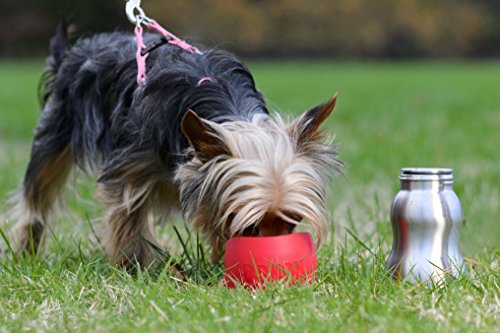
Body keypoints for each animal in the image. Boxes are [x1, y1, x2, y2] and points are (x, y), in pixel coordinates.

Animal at [8, 23, 344, 268]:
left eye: (293, 221)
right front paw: (137, 267)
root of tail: (74, 51)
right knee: (37, 194)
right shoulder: (129, 168)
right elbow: (127, 217)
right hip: (56, 129)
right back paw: (27, 250)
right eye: (248, 225)